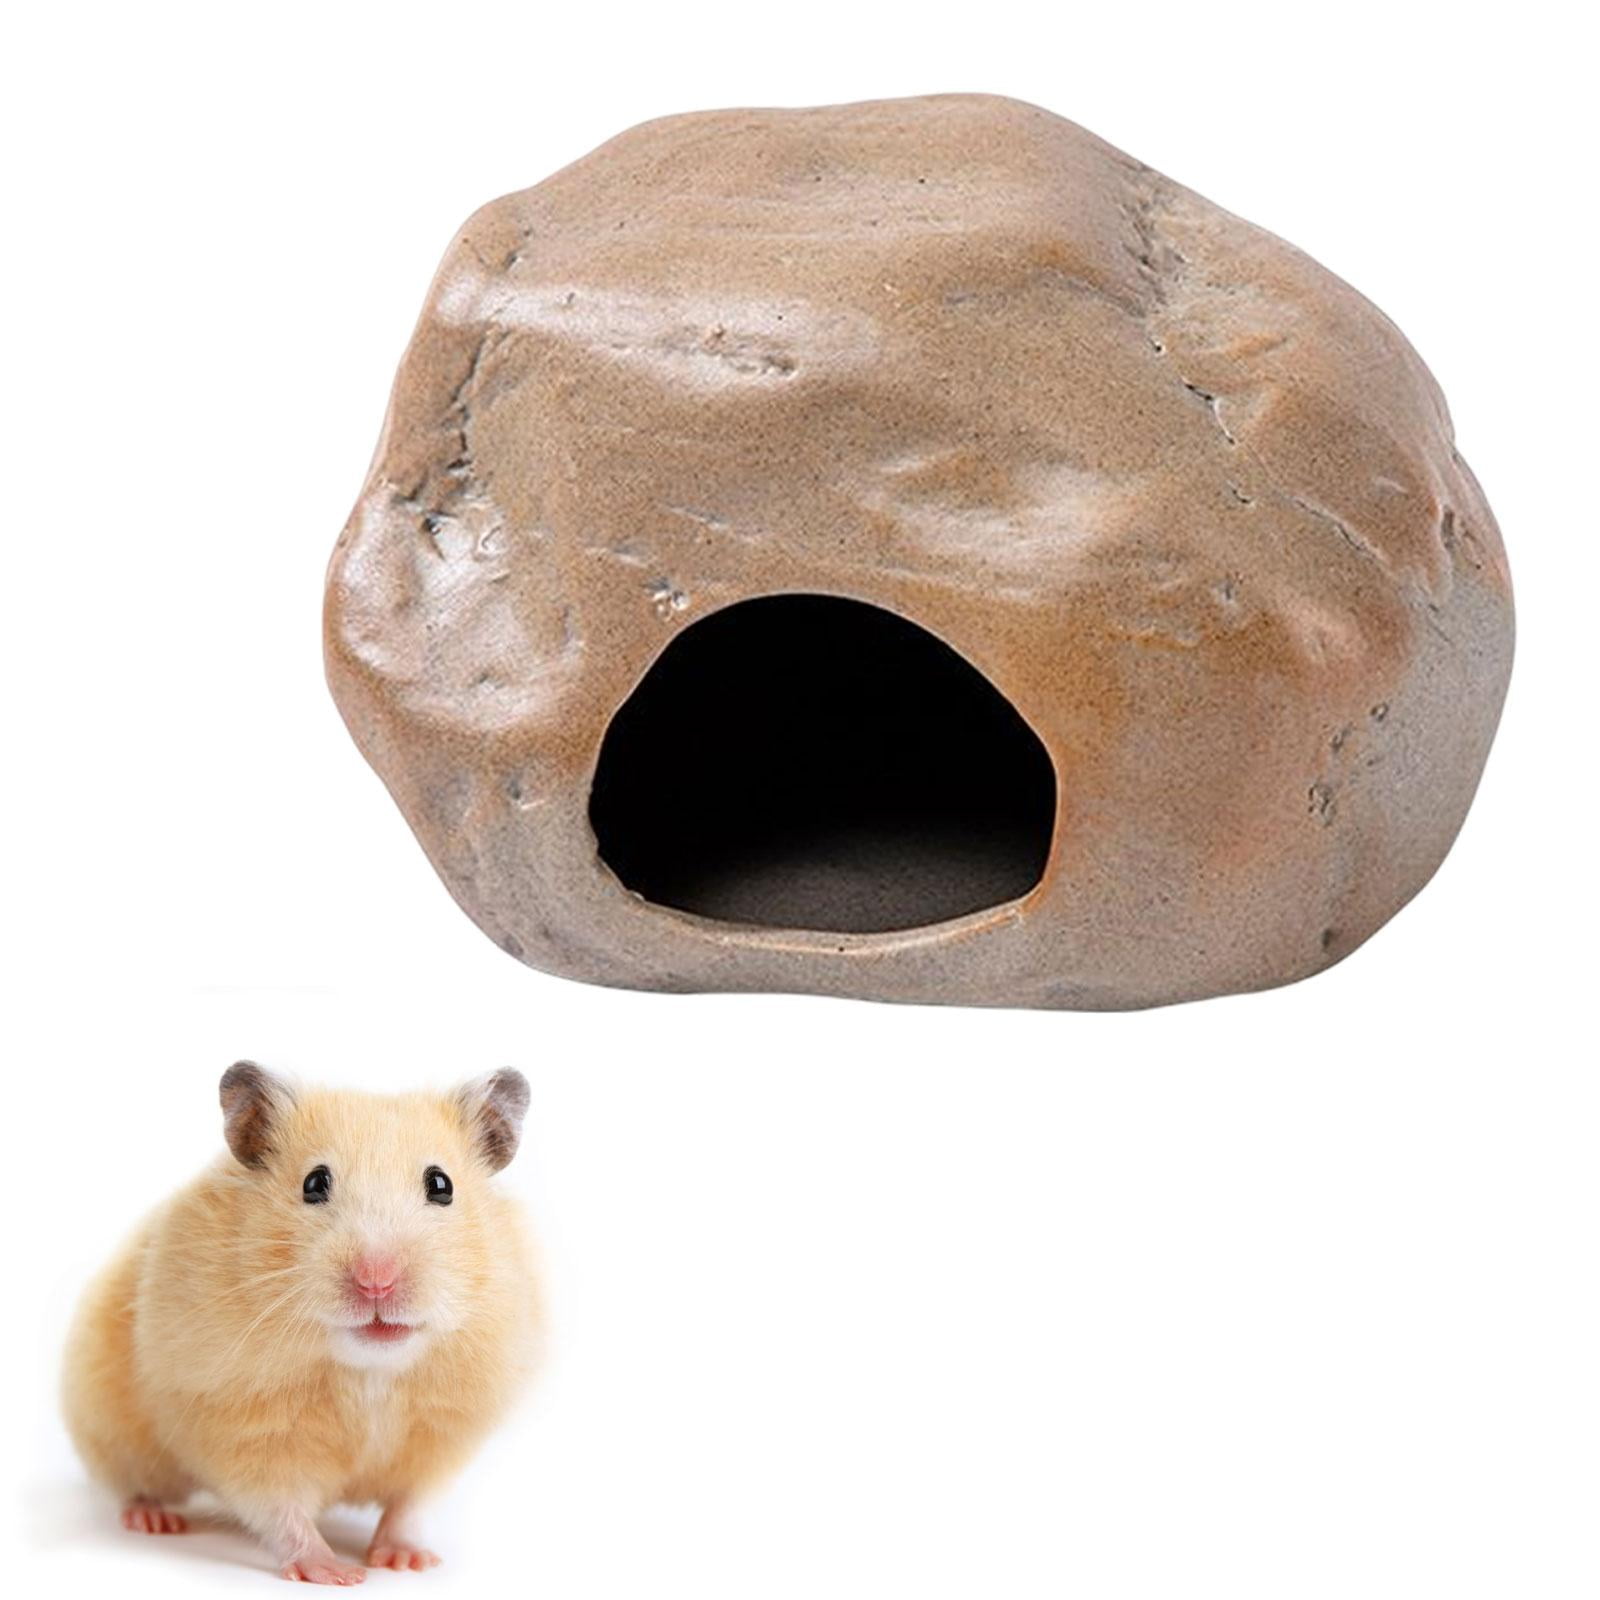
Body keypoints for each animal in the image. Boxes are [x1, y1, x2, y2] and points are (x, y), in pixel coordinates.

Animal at [62, 1062, 540, 1584]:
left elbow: (410, 1505)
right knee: (133, 1485)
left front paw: (407, 1561)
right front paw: (338, 1573)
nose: (376, 1281)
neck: (369, 1371)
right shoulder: (240, 1430)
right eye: (314, 1183)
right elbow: (281, 1509)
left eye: (441, 1185)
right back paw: (152, 1520)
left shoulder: (441, 1440)